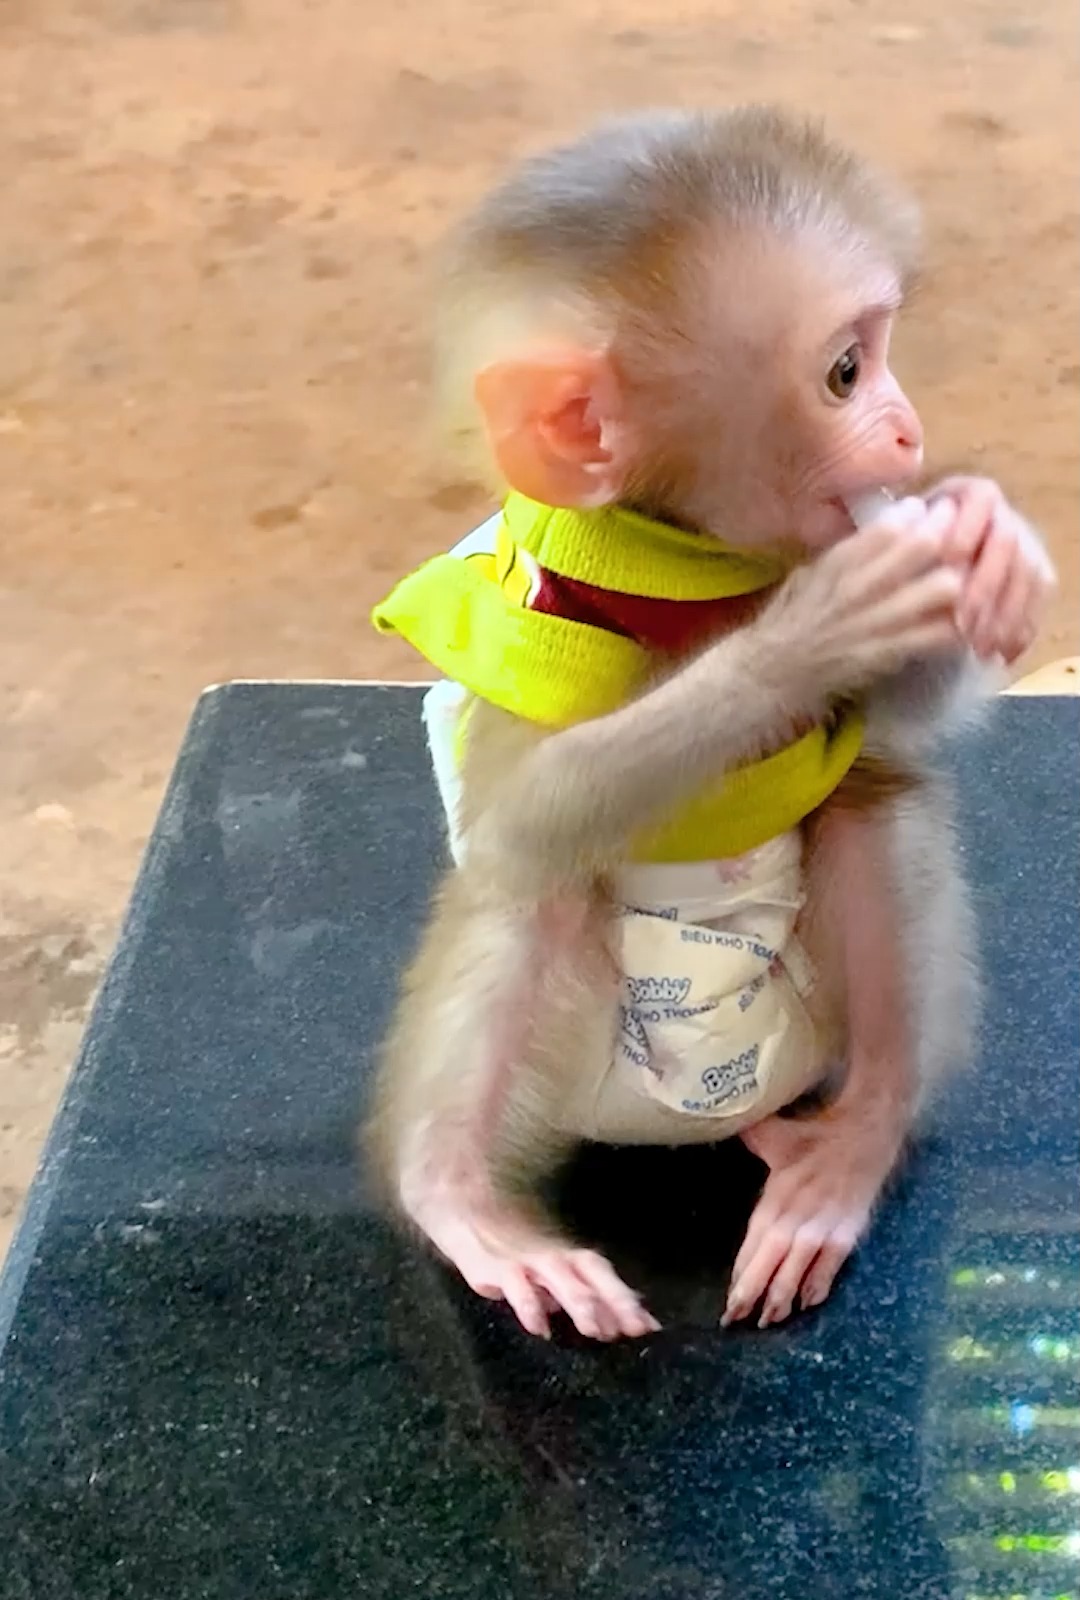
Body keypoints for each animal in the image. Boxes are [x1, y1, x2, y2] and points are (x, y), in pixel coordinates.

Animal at [365, 106, 1056, 1342]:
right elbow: (517, 829)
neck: (684, 553)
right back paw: (462, 1200)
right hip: (581, 1066)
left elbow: (895, 719)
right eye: (844, 373)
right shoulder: (532, 626)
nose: (907, 434)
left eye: (883, 354)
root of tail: (716, 1109)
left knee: (873, 797)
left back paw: (853, 1145)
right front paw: (803, 637)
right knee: (528, 892)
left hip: (810, 1033)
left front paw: (988, 541)